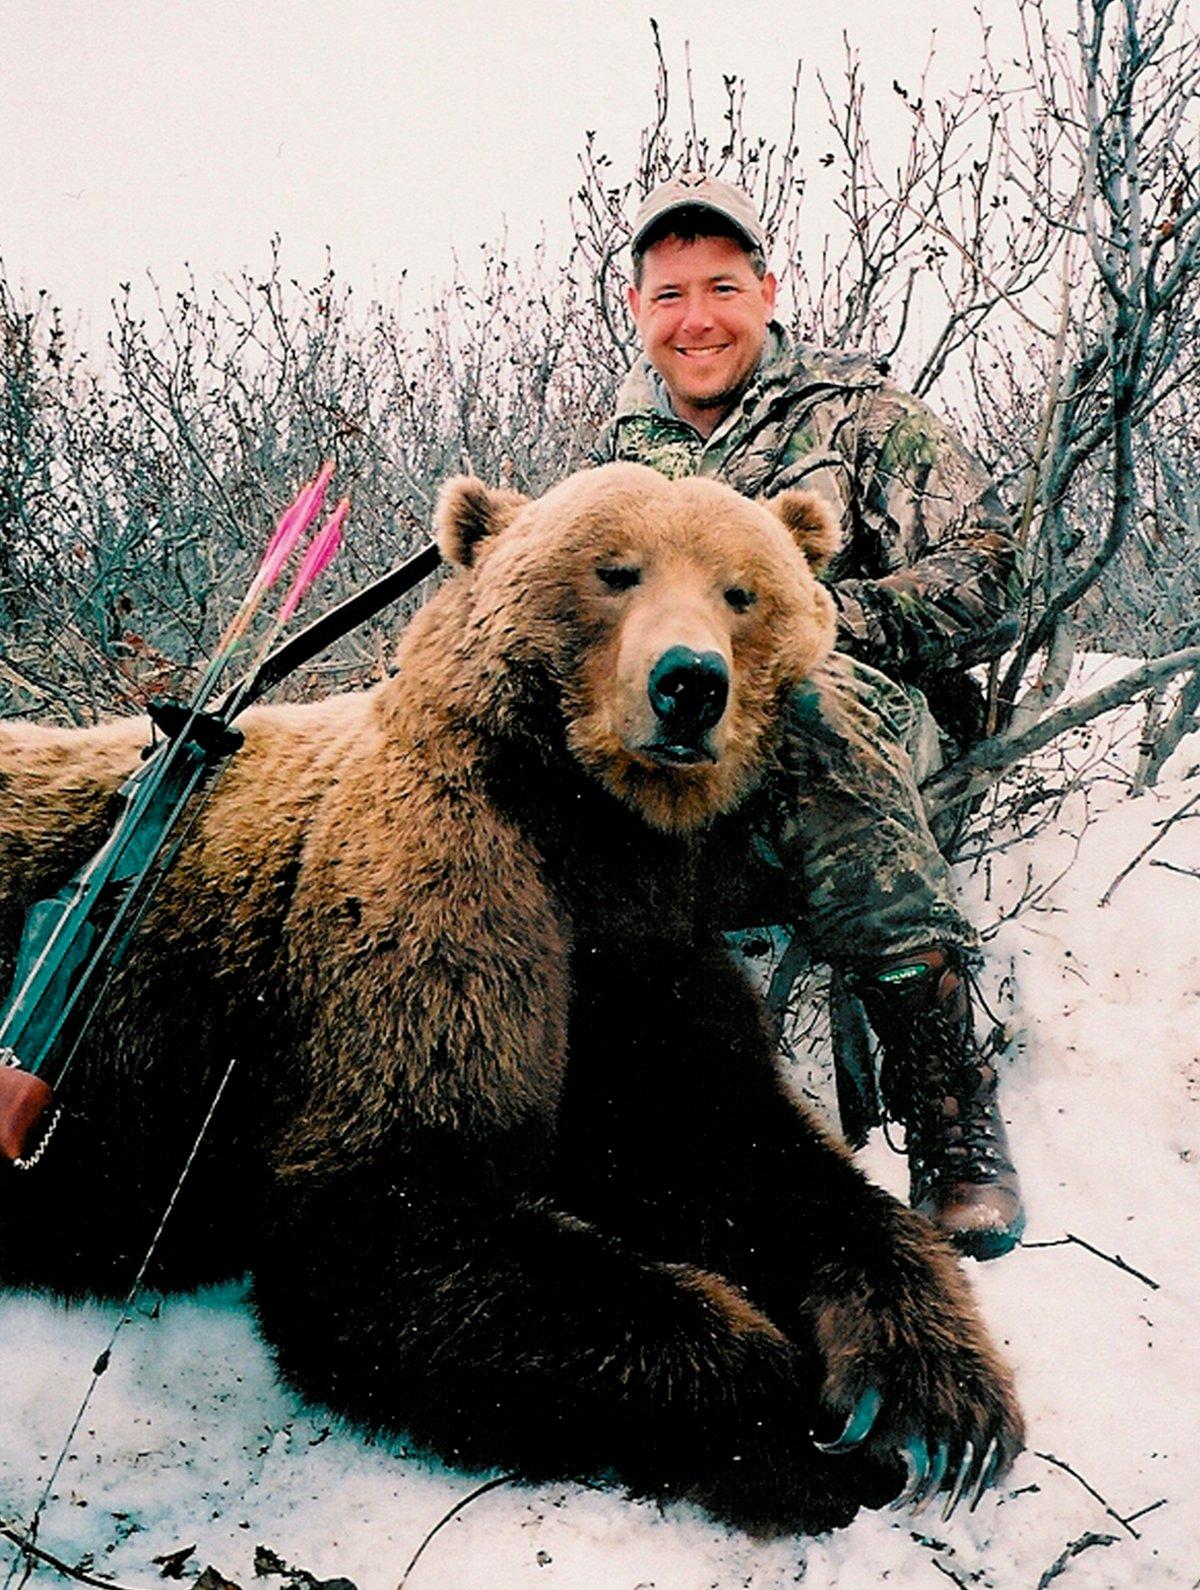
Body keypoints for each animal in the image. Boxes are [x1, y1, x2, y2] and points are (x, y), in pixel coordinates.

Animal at [0, 464, 1023, 1539]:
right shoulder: (436, 911)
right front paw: (799, 1429)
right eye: (615, 571)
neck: (586, 835)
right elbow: (385, 1217)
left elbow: (754, 1154)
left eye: (741, 591)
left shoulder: (643, 960)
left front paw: (933, 1402)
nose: (689, 682)